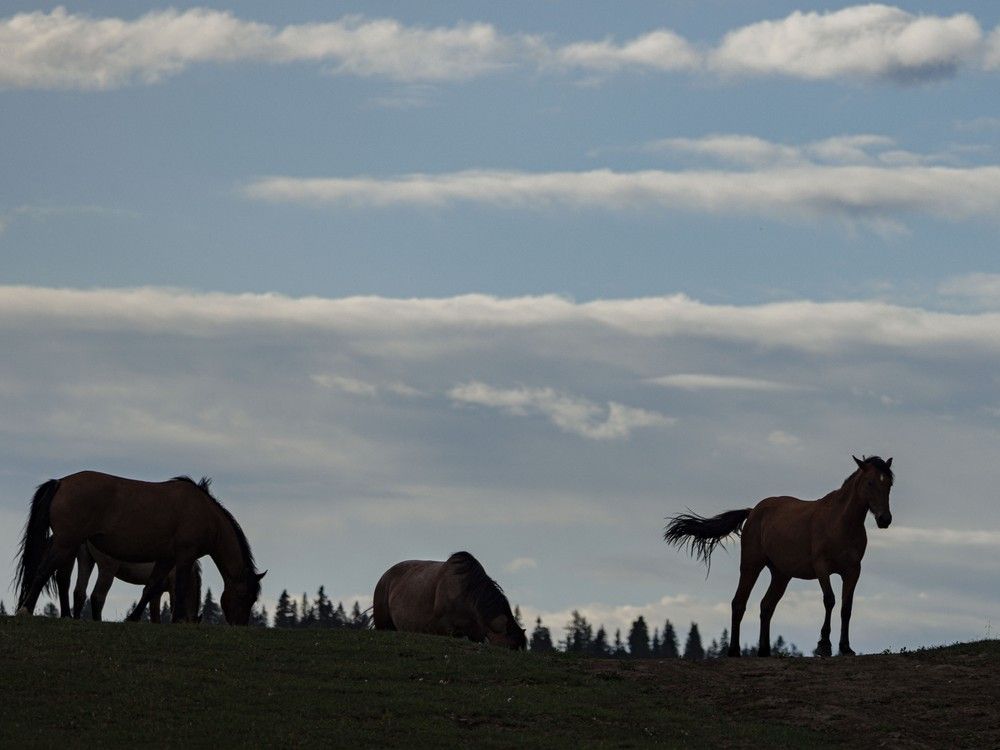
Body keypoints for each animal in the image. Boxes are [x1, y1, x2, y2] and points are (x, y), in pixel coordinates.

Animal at [72, 542, 203, 623]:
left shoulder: (157, 591)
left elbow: (155, 615)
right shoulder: (172, 587)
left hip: (86, 560)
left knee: (80, 592)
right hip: (107, 570)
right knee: (97, 596)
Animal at [664, 455, 894, 657]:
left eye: (889, 483)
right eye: (870, 482)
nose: (885, 519)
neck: (839, 522)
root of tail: (753, 511)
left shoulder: (853, 571)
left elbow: (847, 607)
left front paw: (846, 648)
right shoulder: (822, 567)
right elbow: (829, 600)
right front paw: (824, 646)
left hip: (781, 575)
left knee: (766, 606)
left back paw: (764, 651)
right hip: (751, 566)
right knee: (739, 602)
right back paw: (734, 651)